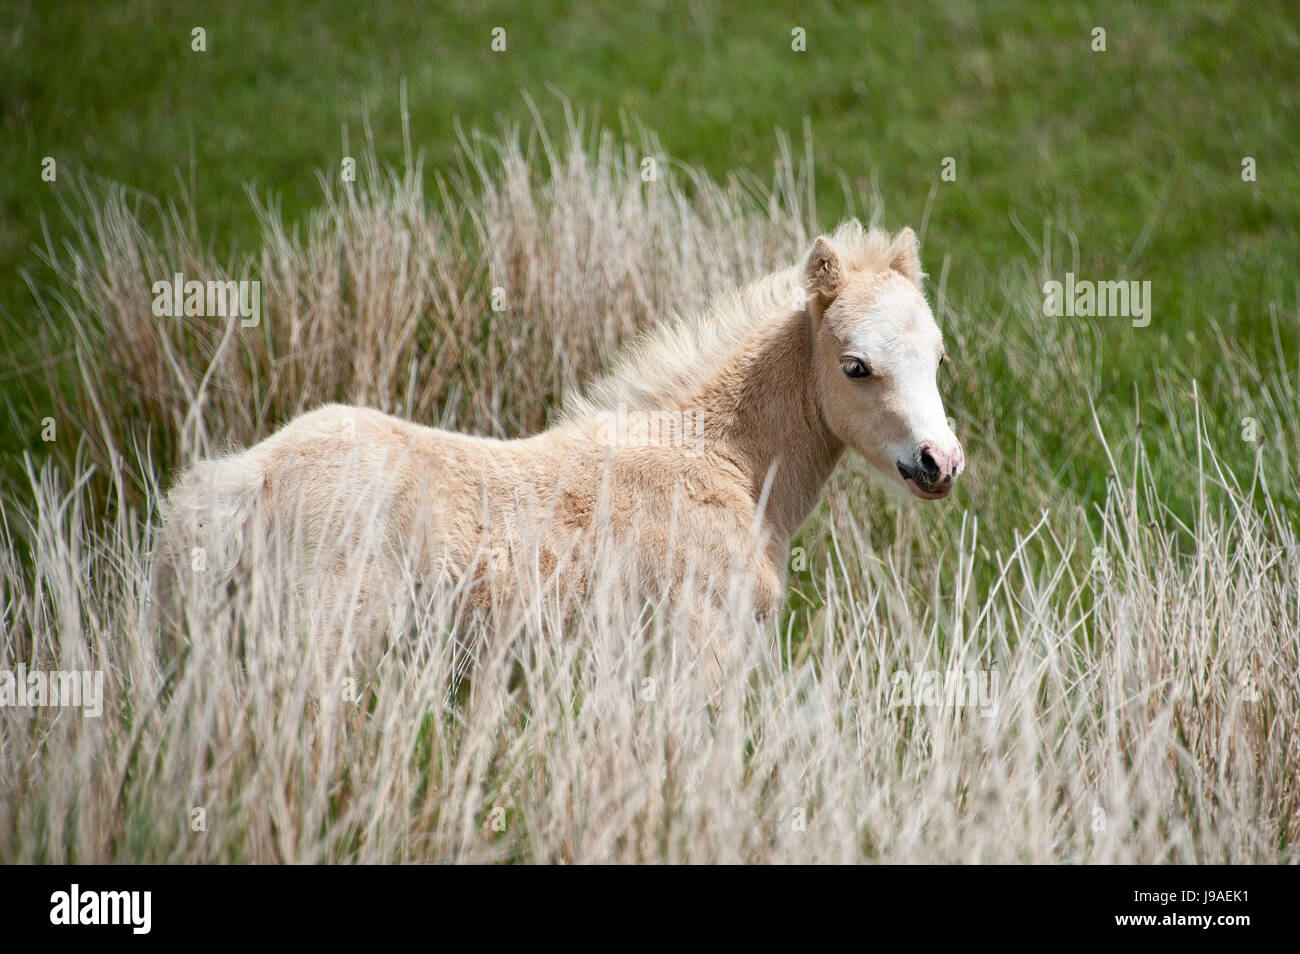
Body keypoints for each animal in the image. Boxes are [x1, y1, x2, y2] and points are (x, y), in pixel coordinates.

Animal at [151, 220, 964, 680]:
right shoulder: (700, 652)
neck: (716, 459)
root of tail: (241, 481)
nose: (939, 463)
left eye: (937, 354)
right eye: (855, 366)